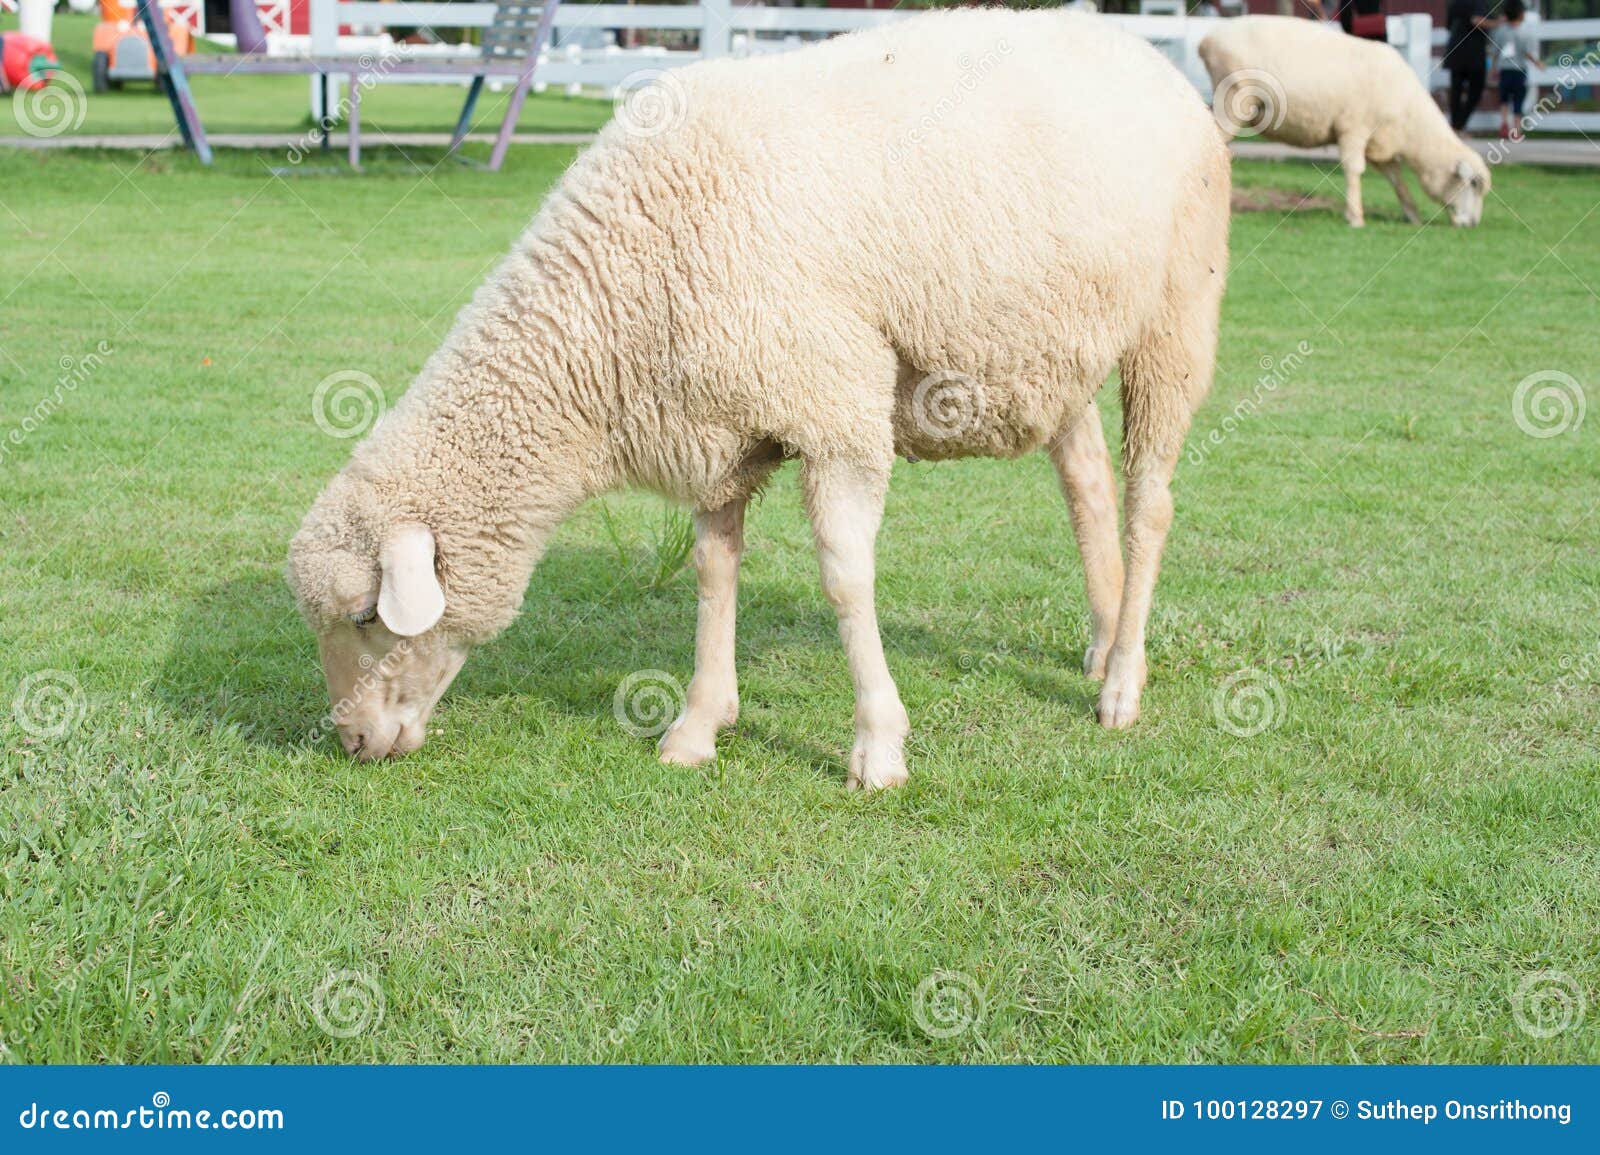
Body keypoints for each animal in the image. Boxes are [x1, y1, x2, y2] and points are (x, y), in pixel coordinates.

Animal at [286, 9, 1230, 791]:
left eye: (368, 614)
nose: (353, 742)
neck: (613, 304)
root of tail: (1142, 51)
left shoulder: (839, 405)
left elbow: (846, 577)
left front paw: (878, 745)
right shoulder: (718, 430)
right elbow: (713, 570)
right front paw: (699, 724)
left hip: (1176, 317)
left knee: (1149, 504)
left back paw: (1122, 683)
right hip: (1052, 348)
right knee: (1087, 485)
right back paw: (1102, 639)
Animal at [1198, 16, 1491, 227]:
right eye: (1473, 184)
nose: (1473, 224)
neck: (1411, 123)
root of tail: (1208, 39)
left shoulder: (1380, 144)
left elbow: (1396, 178)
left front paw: (1413, 215)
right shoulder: (1354, 129)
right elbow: (1354, 170)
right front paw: (1355, 217)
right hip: (1234, 97)